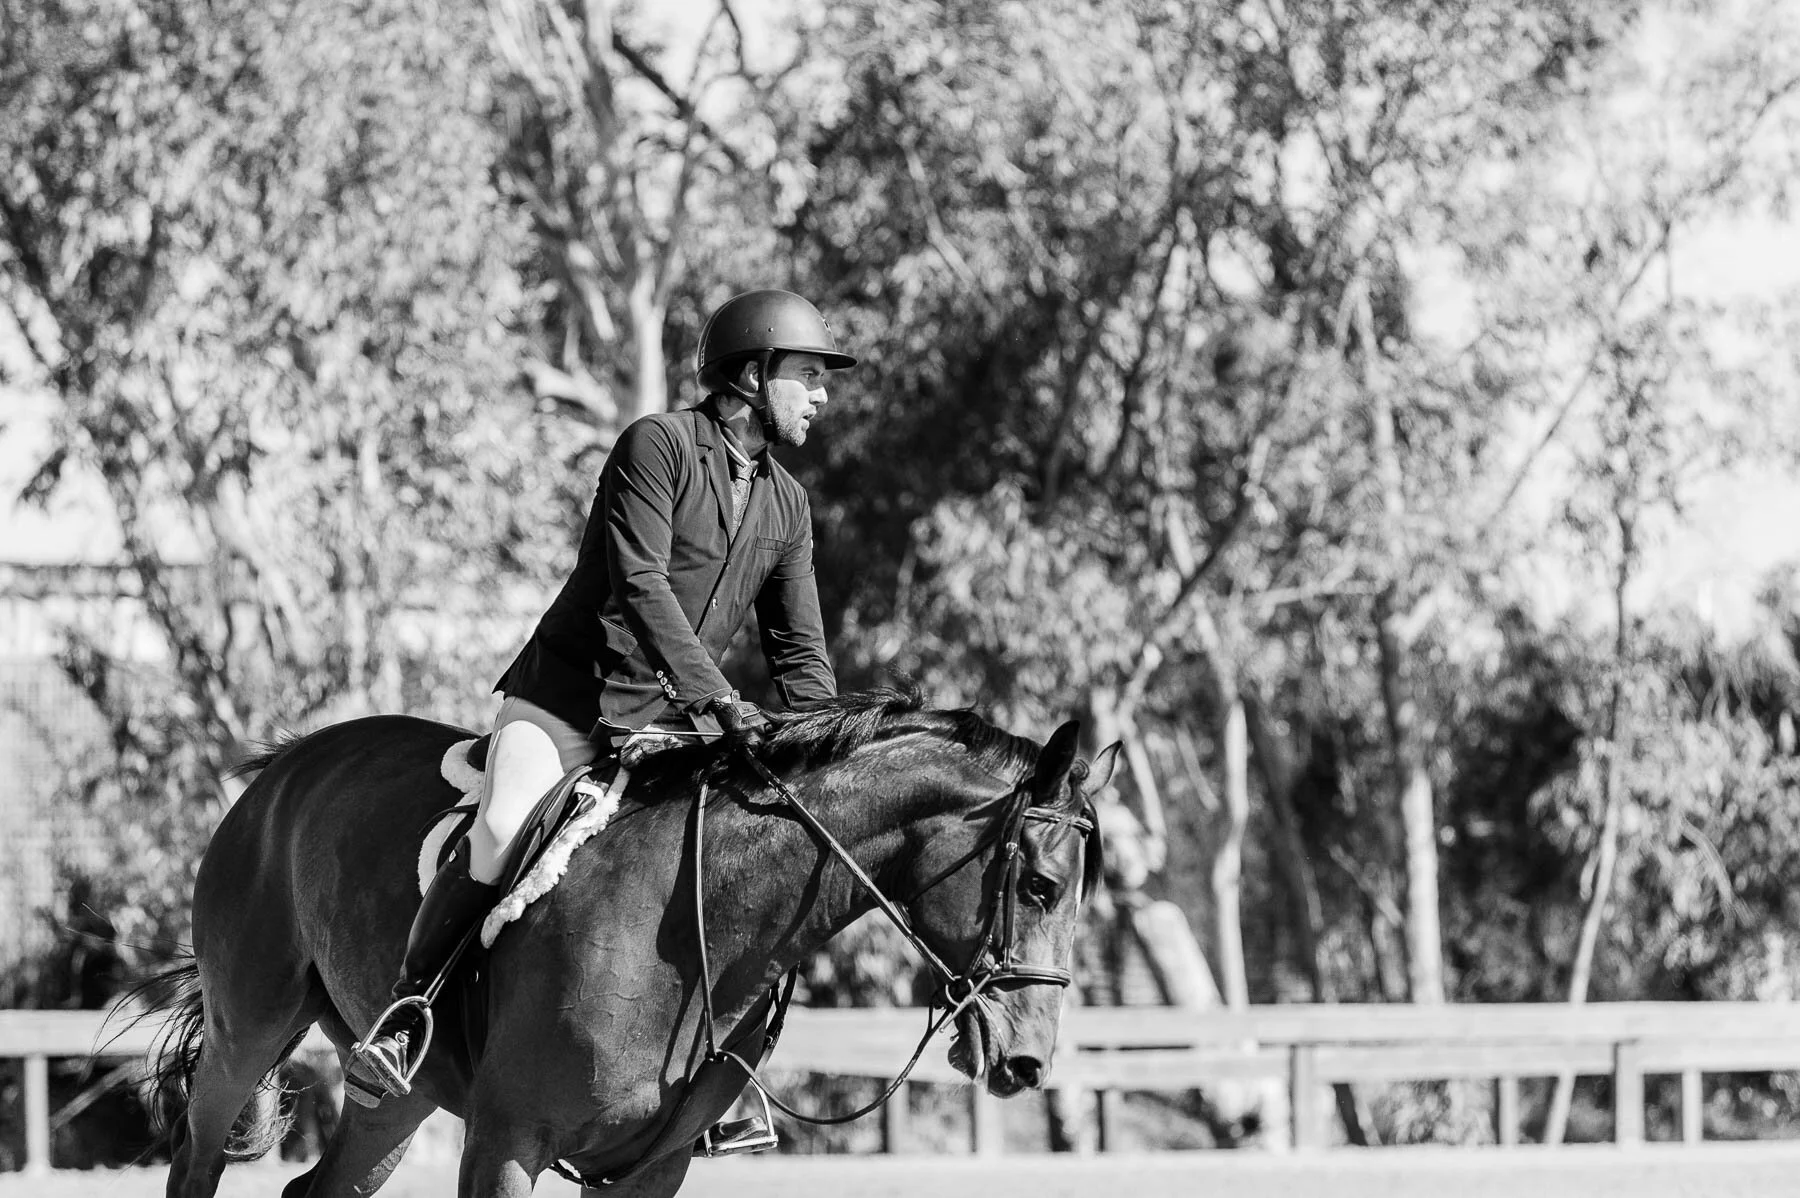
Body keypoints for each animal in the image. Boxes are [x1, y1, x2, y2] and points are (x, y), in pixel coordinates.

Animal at [147, 687, 1113, 1197]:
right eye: (1040, 886)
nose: (1028, 1063)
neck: (688, 935)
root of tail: (285, 765)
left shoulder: (651, 1170)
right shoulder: (507, 1145)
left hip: (401, 1092)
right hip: (246, 1031)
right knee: (197, 1160)